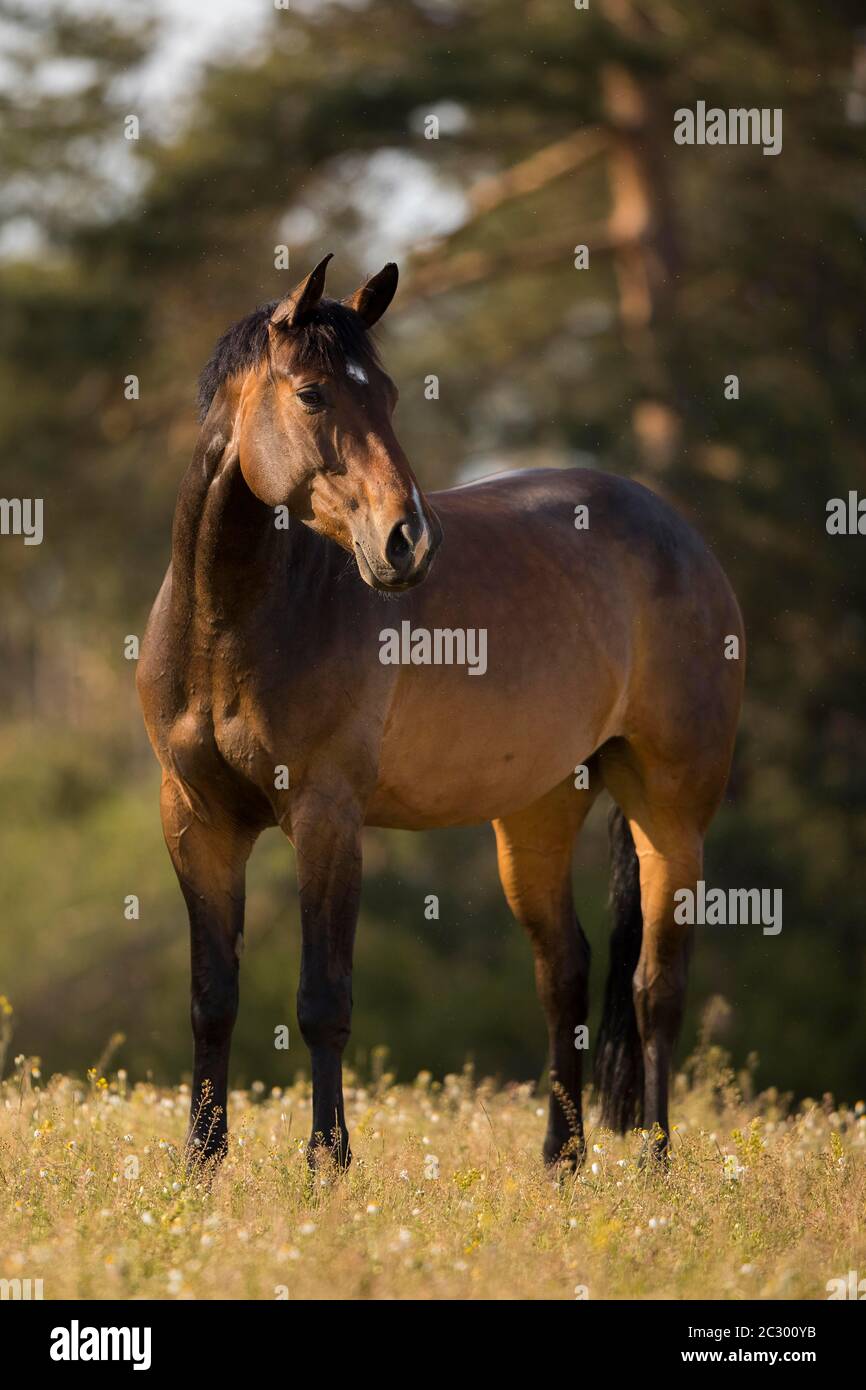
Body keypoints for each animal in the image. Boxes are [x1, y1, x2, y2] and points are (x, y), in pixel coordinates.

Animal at [138, 254, 744, 1169]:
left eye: (389, 394)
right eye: (312, 394)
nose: (407, 543)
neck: (229, 627)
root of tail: (682, 537)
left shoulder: (326, 815)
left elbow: (323, 1000)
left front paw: (327, 1163)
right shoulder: (195, 819)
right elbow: (213, 998)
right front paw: (200, 1166)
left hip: (670, 809)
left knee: (655, 988)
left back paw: (657, 1165)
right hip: (538, 811)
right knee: (565, 971)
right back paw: (561, 1165)